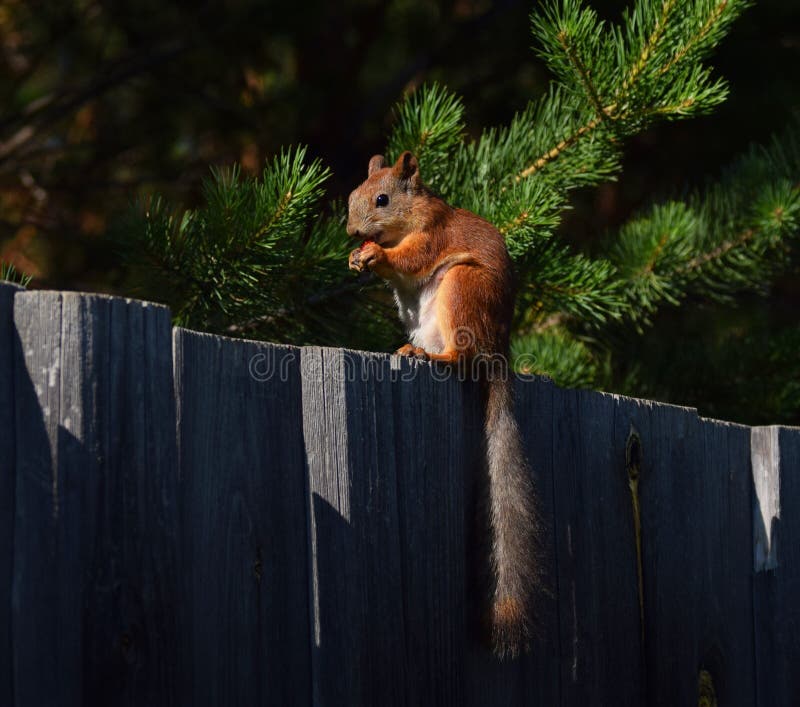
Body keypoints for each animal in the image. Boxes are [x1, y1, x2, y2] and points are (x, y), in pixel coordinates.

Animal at [347, 151, 542, 659]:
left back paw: (437, 357)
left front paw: (377, 257)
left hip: (462, 288)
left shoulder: (434, 234)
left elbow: (411, 258)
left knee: (463, 358)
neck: (413, 214)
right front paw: (357, 258)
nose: (352, 233)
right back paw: (411, 350)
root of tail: (498, 350)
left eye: (382, 199)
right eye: (353, 195)